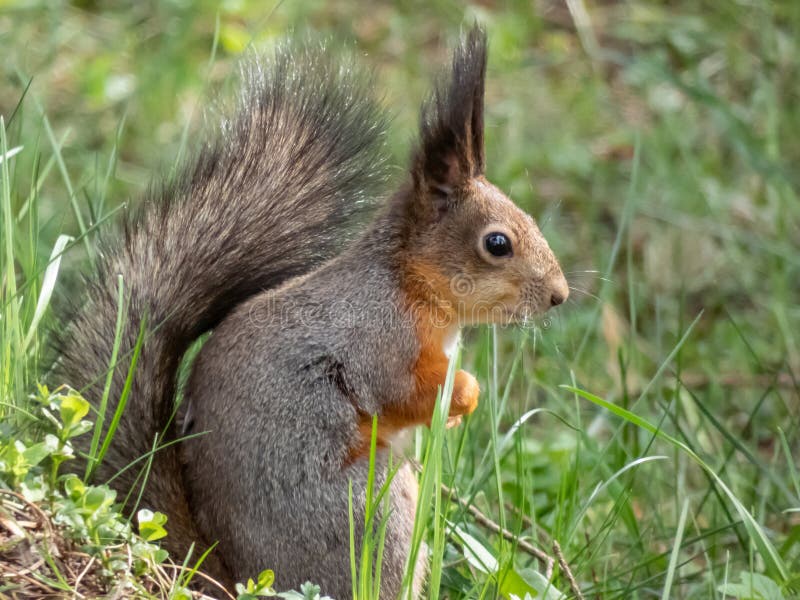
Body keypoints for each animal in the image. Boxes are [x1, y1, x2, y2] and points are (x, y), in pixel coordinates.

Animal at [55, 26, 568, 598]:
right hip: (374, 509)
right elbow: (400, 392)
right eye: (497, 243)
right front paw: (466, 392)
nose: (560, 294)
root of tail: (234, 578)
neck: (410, 286)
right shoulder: (376, 338)